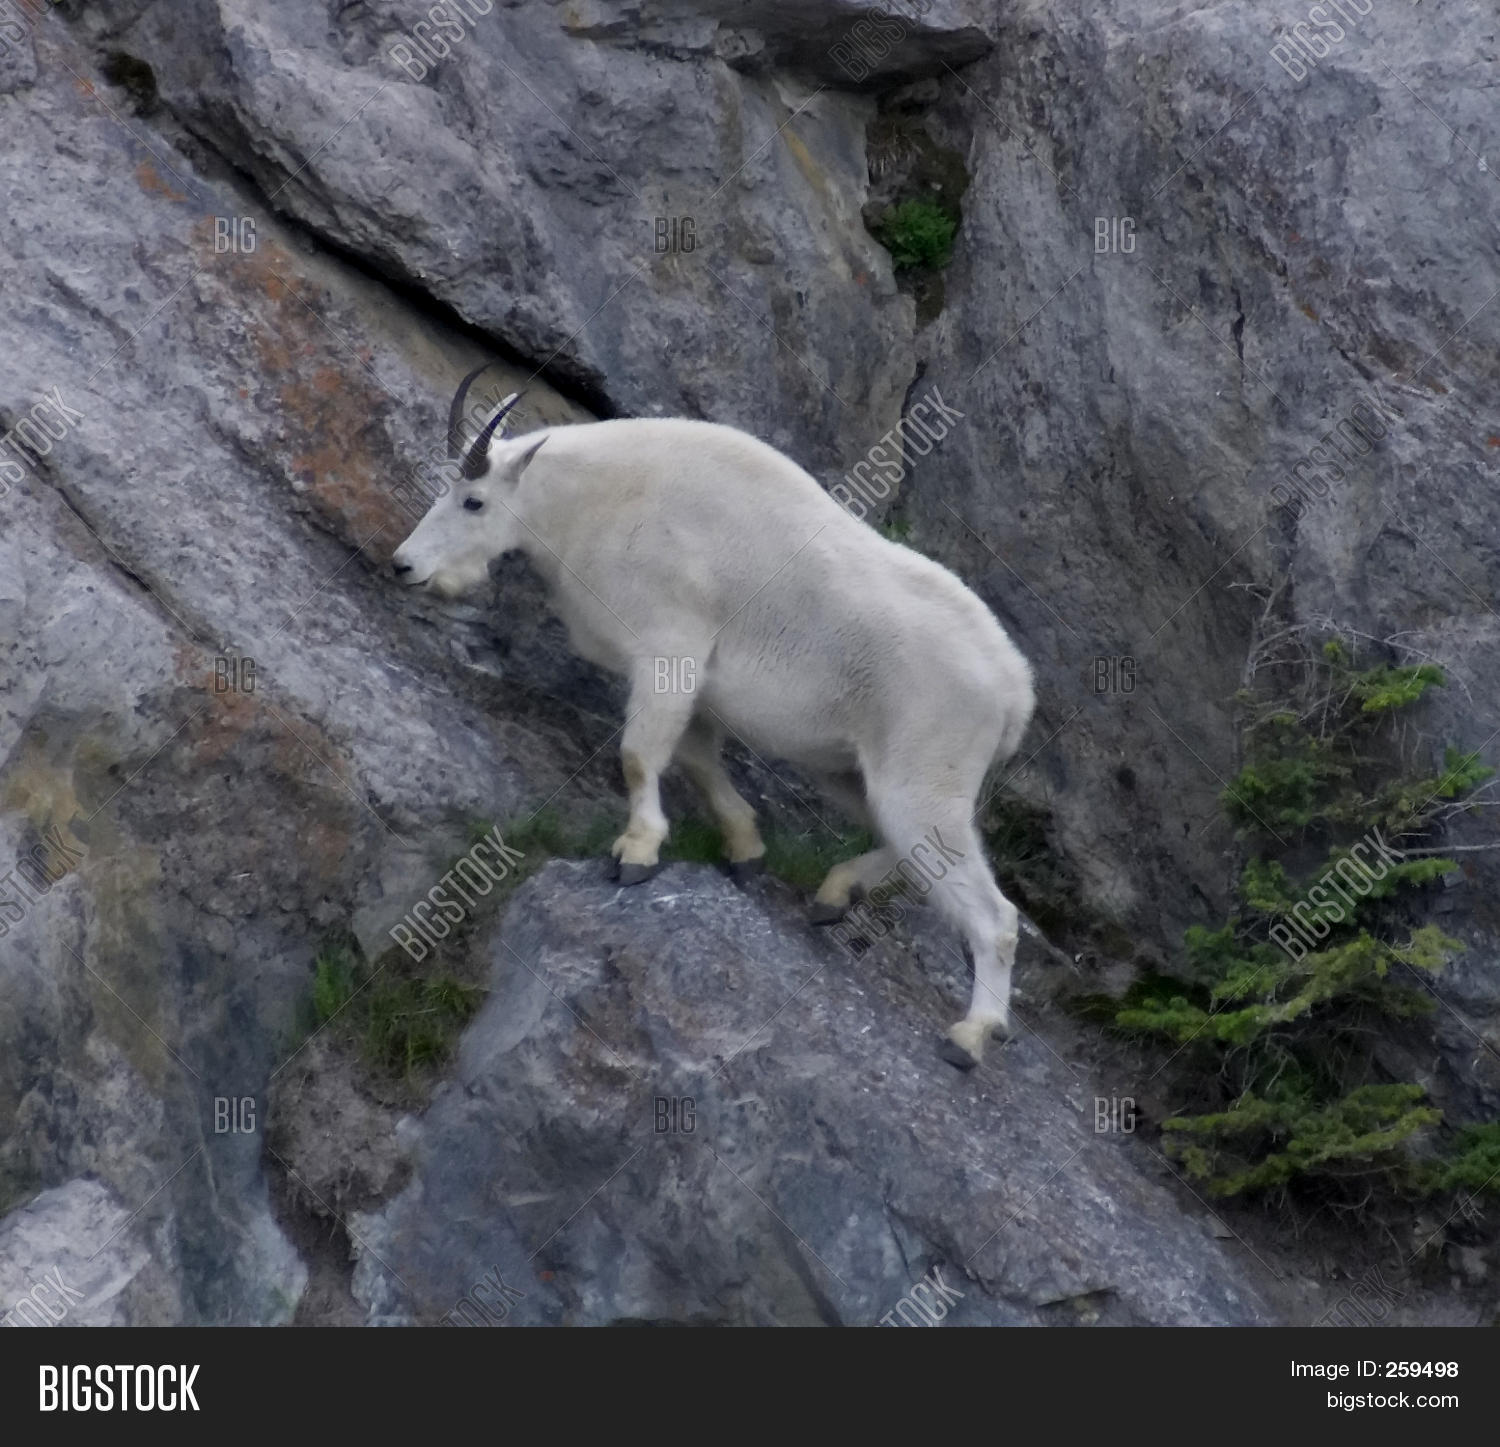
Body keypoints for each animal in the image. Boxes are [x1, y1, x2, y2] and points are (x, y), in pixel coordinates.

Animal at [391, 366, 1036, 1068]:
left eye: (473, 501)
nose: (405, 565)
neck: (595, 502)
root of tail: (1014, 692)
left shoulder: (668, 651)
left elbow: (638, 755)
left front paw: (636, 853)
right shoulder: (695, 687)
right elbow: (697, 760)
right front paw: (744, 847)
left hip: (923, 777)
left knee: (995, 915)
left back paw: (971, 1035)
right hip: (856, 770)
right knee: (902, 842)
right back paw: (835, 895)